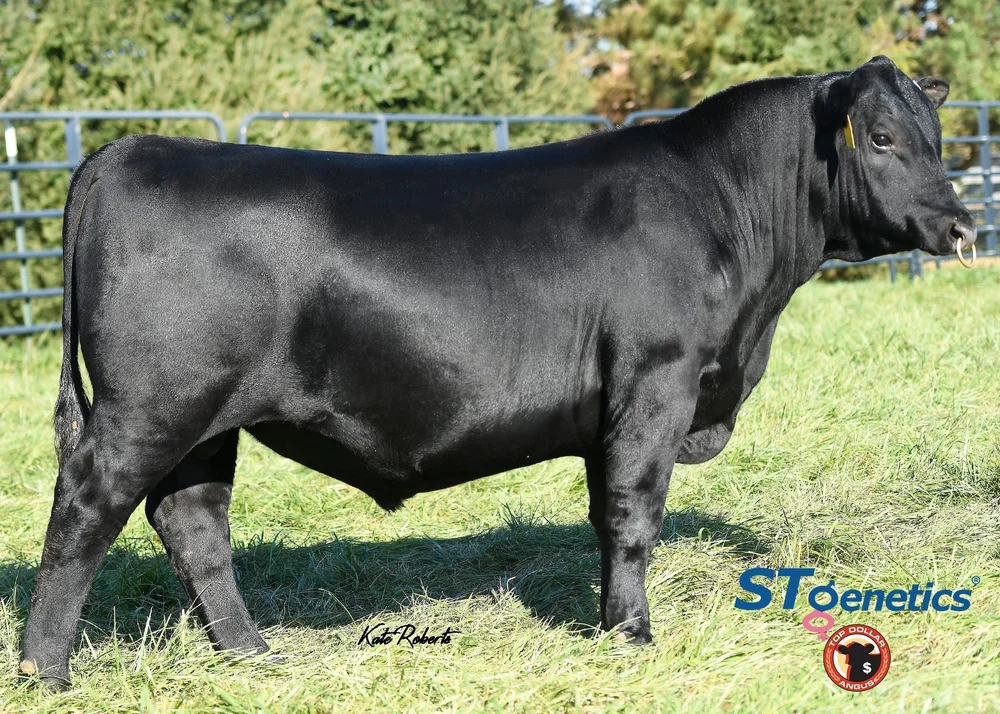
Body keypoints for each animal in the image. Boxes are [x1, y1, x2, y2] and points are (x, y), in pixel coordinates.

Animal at [19, 55, 975, 688]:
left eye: (934, 136)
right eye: (881, 137)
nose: (962, 226)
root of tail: (132, 149)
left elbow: (605, 516)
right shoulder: (656, 383)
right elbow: (634, 516)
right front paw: (633, 636)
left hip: (206, 421)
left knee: (193, 522)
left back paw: (254, 656)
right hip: (151, 407)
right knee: (83, 515)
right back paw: (45, 672)